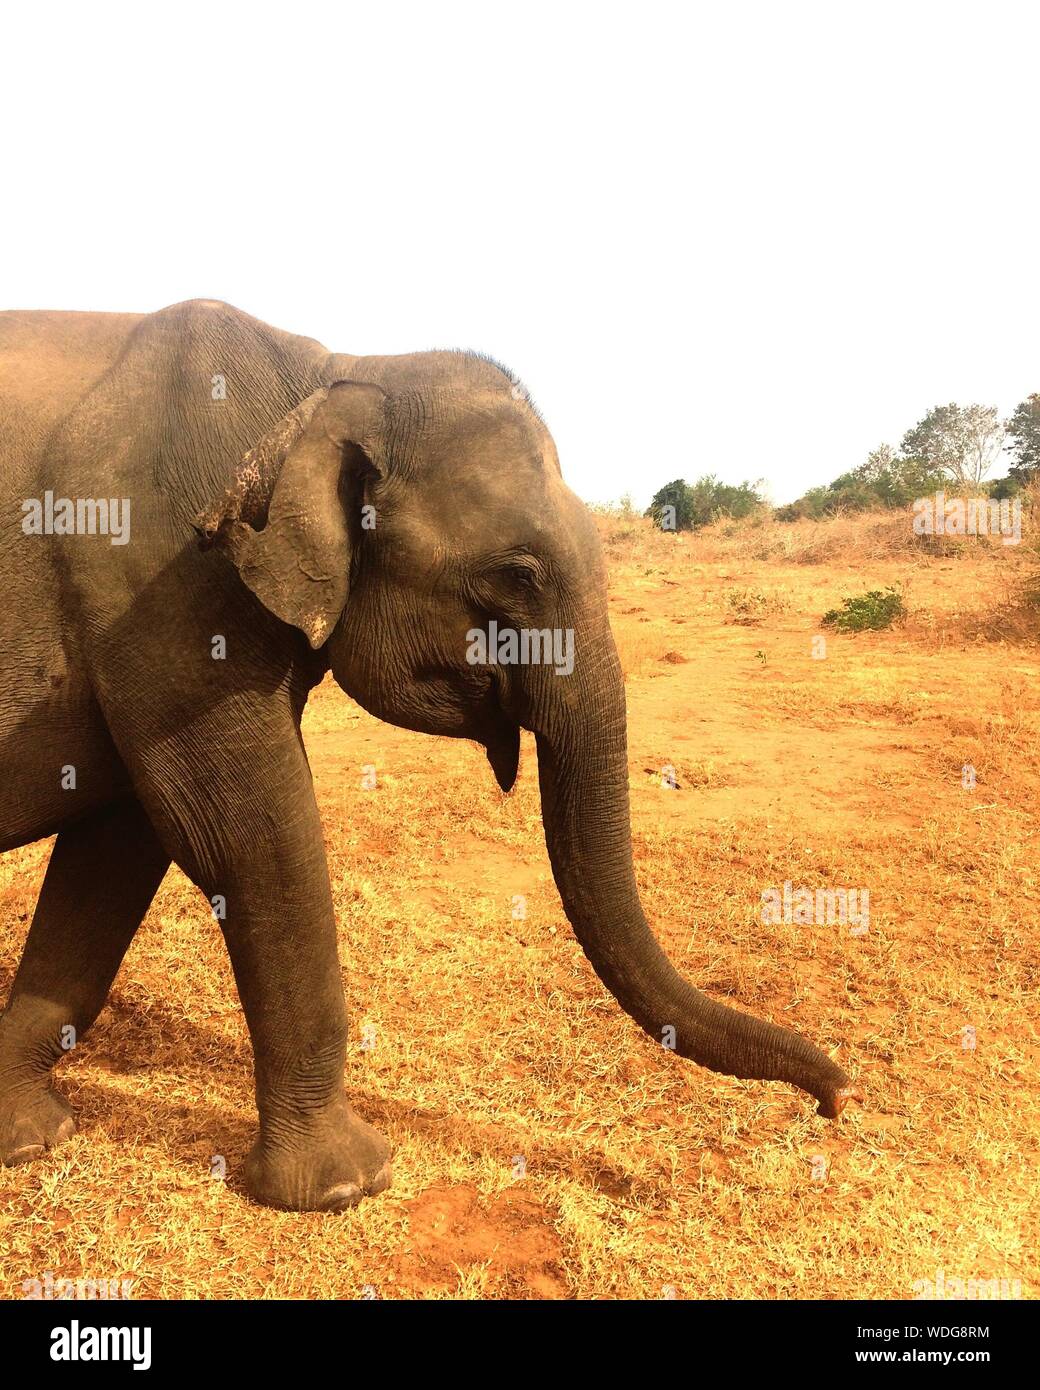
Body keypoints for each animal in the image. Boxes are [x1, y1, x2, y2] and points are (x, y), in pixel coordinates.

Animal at [0, 299, 856, 1211]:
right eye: (516, 575)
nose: (839, 1101)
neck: (336, 374)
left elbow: (120, 847)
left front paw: (28, 1139)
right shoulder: (162, 589)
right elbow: (239, 830)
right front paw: (347, 1186)